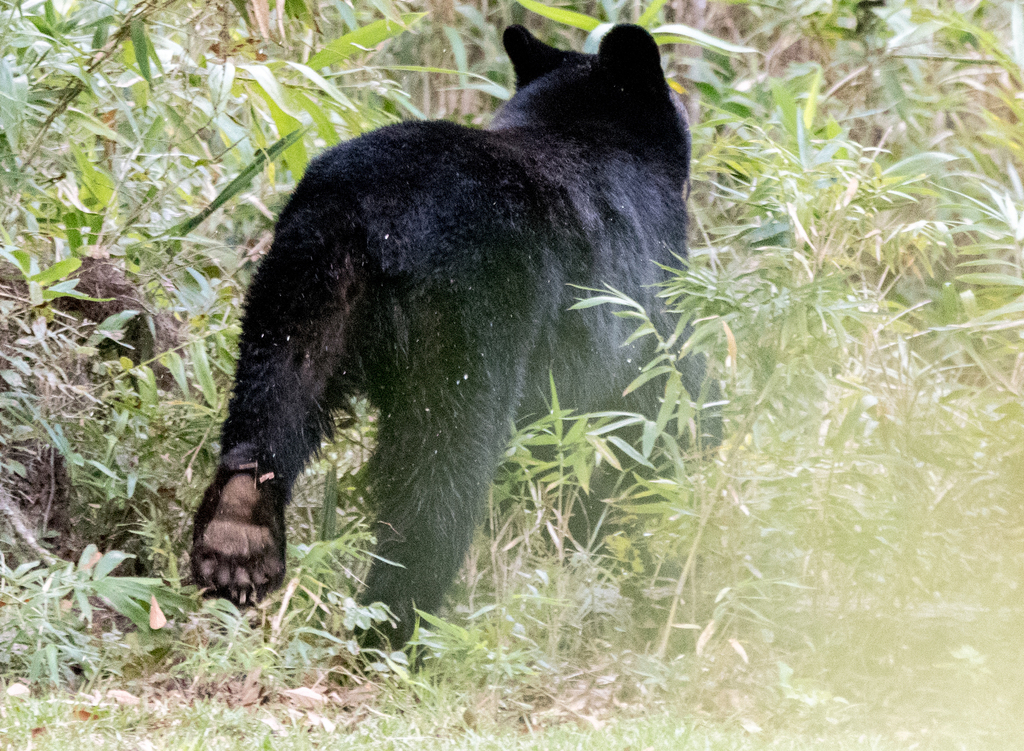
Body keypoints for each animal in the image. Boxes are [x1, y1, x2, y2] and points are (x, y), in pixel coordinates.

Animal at [190, 23, 721, 648]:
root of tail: (376, 218)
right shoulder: (638, 297)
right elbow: (661, 400)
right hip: (469, 320)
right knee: (444, 472)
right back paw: (397, 626)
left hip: (299, 279)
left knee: (274, 396)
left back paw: (237, 539)